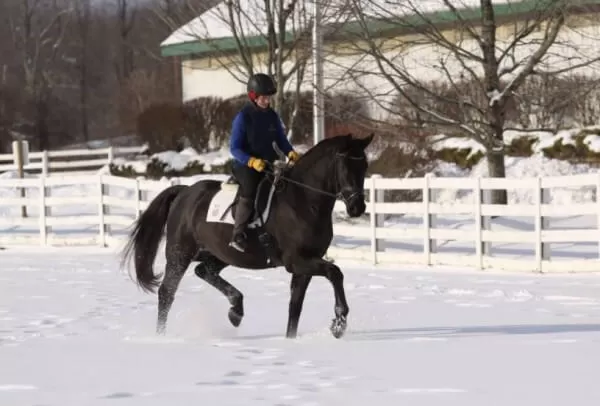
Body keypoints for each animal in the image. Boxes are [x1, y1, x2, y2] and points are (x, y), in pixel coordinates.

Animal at [119, 132, 372, 338]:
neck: (303, 201)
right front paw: (339, 322)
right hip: (179, 254)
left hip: (221, 253)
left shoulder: (304, 267)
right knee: (167, 293)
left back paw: (236, 309)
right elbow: (335, 273)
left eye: (364, 166)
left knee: (204, 271)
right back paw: (161, 336)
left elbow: (295, 307)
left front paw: (291, 340)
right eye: (345, 166)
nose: (357, 208)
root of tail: (185, 192)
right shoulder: (297, 261)